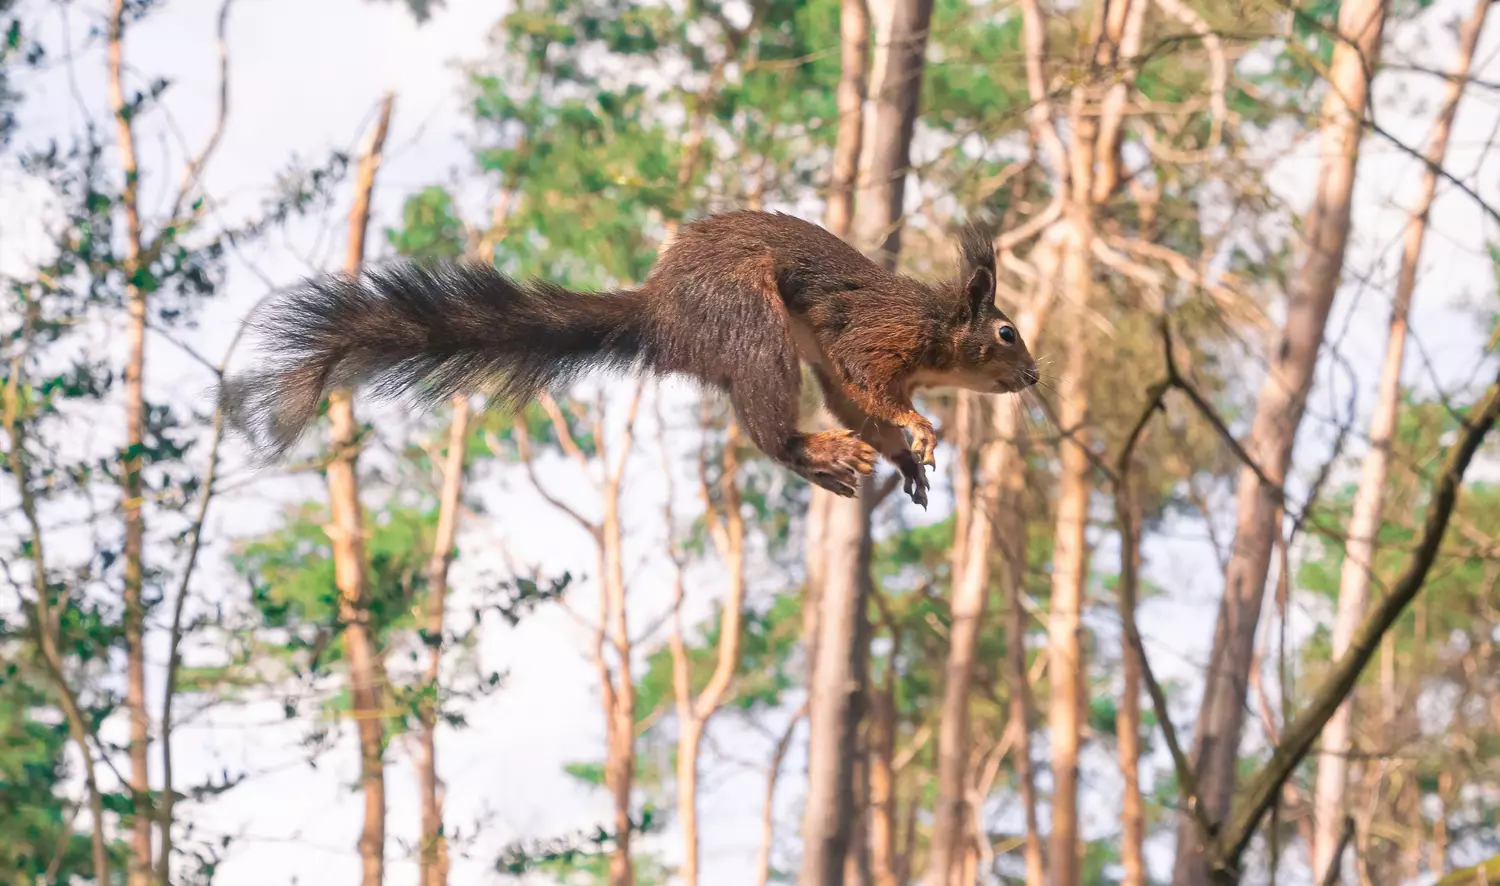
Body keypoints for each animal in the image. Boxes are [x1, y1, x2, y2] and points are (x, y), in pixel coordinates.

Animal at [222, 208, 1038, 509]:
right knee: (767, 418)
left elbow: (850, 398)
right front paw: (921, 427)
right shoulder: (875, 336)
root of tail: (661, 312)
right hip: (747, 322)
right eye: (1006, 333)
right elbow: (870, 385)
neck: (938, 333)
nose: (1034, 377)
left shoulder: (842, 365)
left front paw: (905, 457)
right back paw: (815, 452)